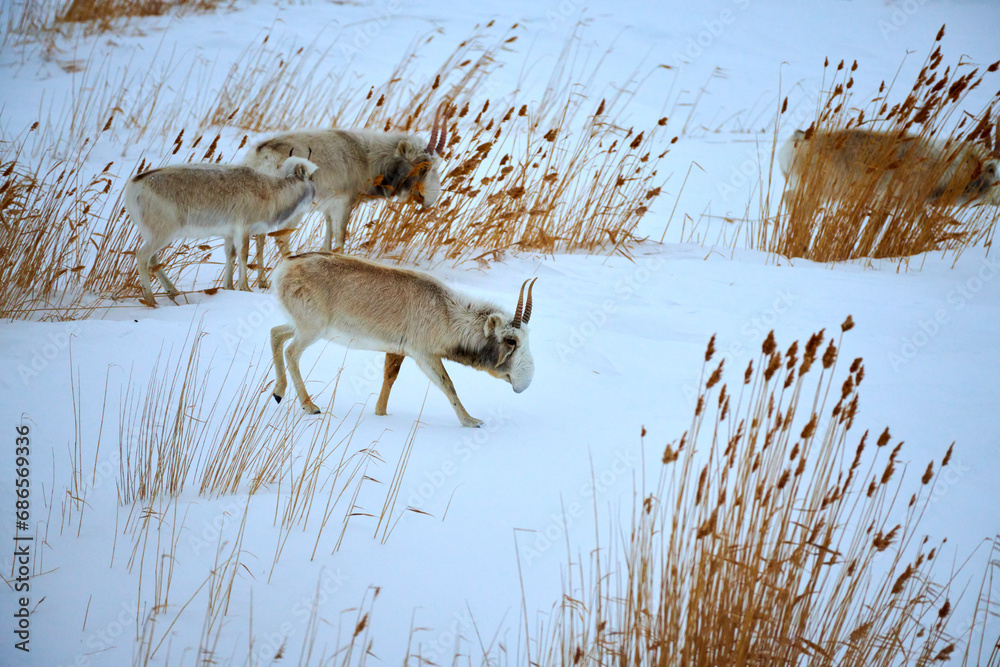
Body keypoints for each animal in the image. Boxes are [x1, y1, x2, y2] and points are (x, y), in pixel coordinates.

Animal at [124, 157, 318, 307]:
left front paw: (229, 287)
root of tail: (134, 187)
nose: (316, 198)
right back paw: (151, 300)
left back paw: (173, 292)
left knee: (153, 259)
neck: (272, 192)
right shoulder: (244, 227)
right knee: (142, 255)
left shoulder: (229, 234)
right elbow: (243, 254)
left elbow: (230, 255)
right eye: (310, 176)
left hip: (154, 235)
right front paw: (245, 287)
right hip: (163, 233)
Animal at [244, 103, 450, 286]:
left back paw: (261, 282)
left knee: (259, 236)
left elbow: (327, 243)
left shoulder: (327, 209)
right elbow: (340, 241)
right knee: (279, 237)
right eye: (423, 166)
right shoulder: (343, 205)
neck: (366, 156)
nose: (430, 199)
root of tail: (265, 153)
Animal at [270, 252, 536, 427]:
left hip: (304, 327)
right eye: (511, 341)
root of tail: (286, 266)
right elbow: (448, 384)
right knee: (291, 352)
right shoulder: (424, 355)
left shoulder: (397, 351)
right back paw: (309, 405)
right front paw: (470, 420)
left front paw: (381, 413)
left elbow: (390, 378)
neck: (447, 312)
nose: (525, 382)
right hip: (311, 330)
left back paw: (278, 393)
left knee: (275, 333)